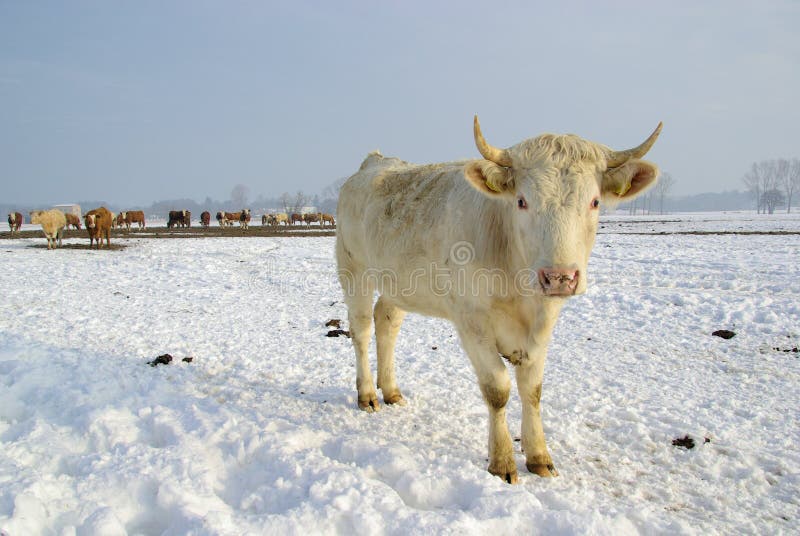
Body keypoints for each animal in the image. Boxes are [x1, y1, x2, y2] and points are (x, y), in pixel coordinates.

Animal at [336, 115, 661, 483]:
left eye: (594, 202)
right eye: (521, 201)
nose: (560, 277)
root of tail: (375, 161)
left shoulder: (544, 322)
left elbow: (532, 389)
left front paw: (539, 456)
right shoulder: (471, 321)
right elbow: (498, 388)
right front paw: (503, 461)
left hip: (398, 282)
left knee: (387, 322)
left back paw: (390, 390)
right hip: (353, 269)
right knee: (362, 329)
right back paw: (367, 394)